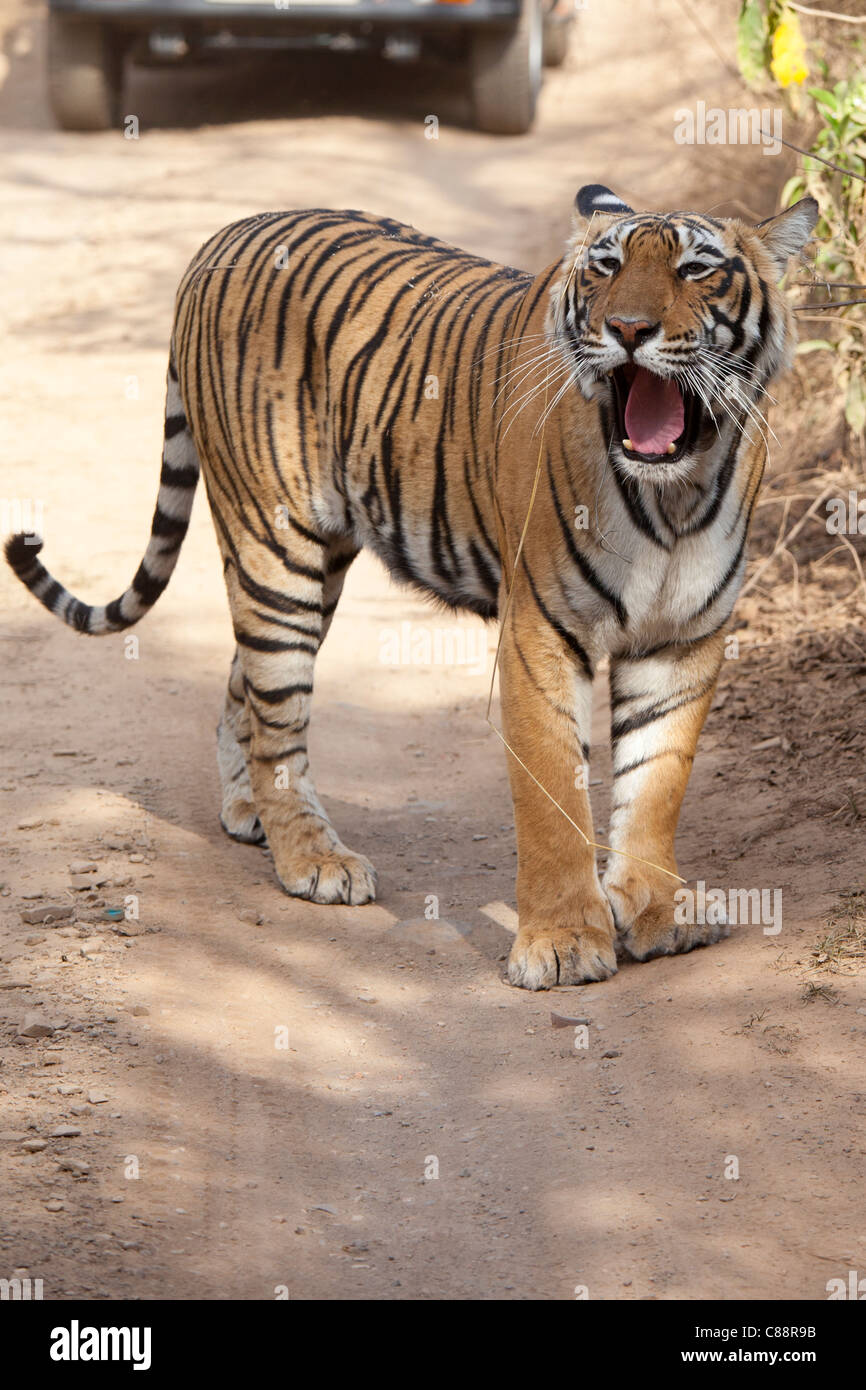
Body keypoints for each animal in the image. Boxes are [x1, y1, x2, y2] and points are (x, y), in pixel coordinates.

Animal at [5, 185, 817, 990]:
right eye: (606, 267)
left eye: (695, 269)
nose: (627, 328)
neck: (673, 493)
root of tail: (229, 231)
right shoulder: (541, 632)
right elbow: (553, 797)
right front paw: (561, 944)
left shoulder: (685, 637)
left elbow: (655, 785)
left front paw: (655, 913)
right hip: (274, 546)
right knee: (279, 713)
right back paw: (313, 859)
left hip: (315, 560)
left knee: (247, 687)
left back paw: (247, 811)